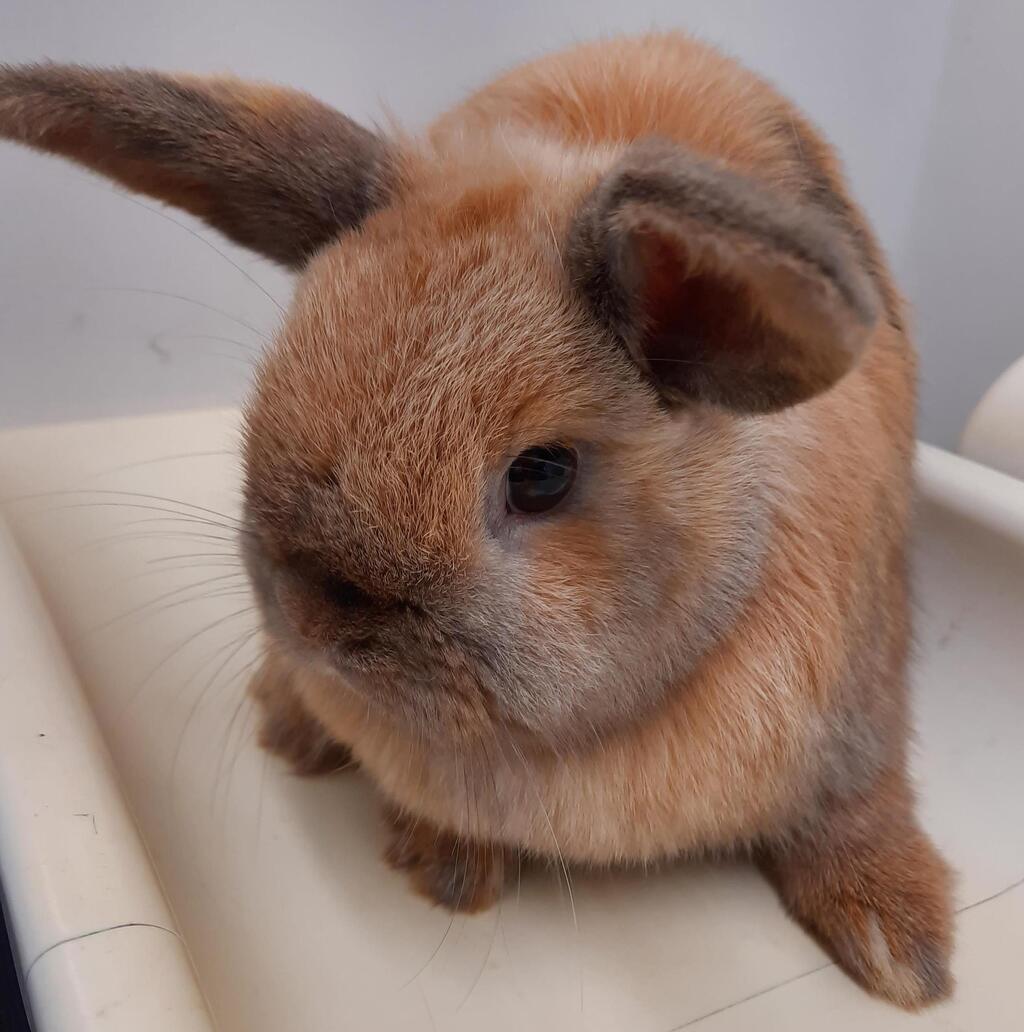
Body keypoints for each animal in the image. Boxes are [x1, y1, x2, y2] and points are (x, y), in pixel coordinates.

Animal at [0, 32, 953, 1008]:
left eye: (542, 476)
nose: (313, 620)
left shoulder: (857, 714)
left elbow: (857, 812)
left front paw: (903, 956)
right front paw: (446, 864)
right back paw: (291, 726)